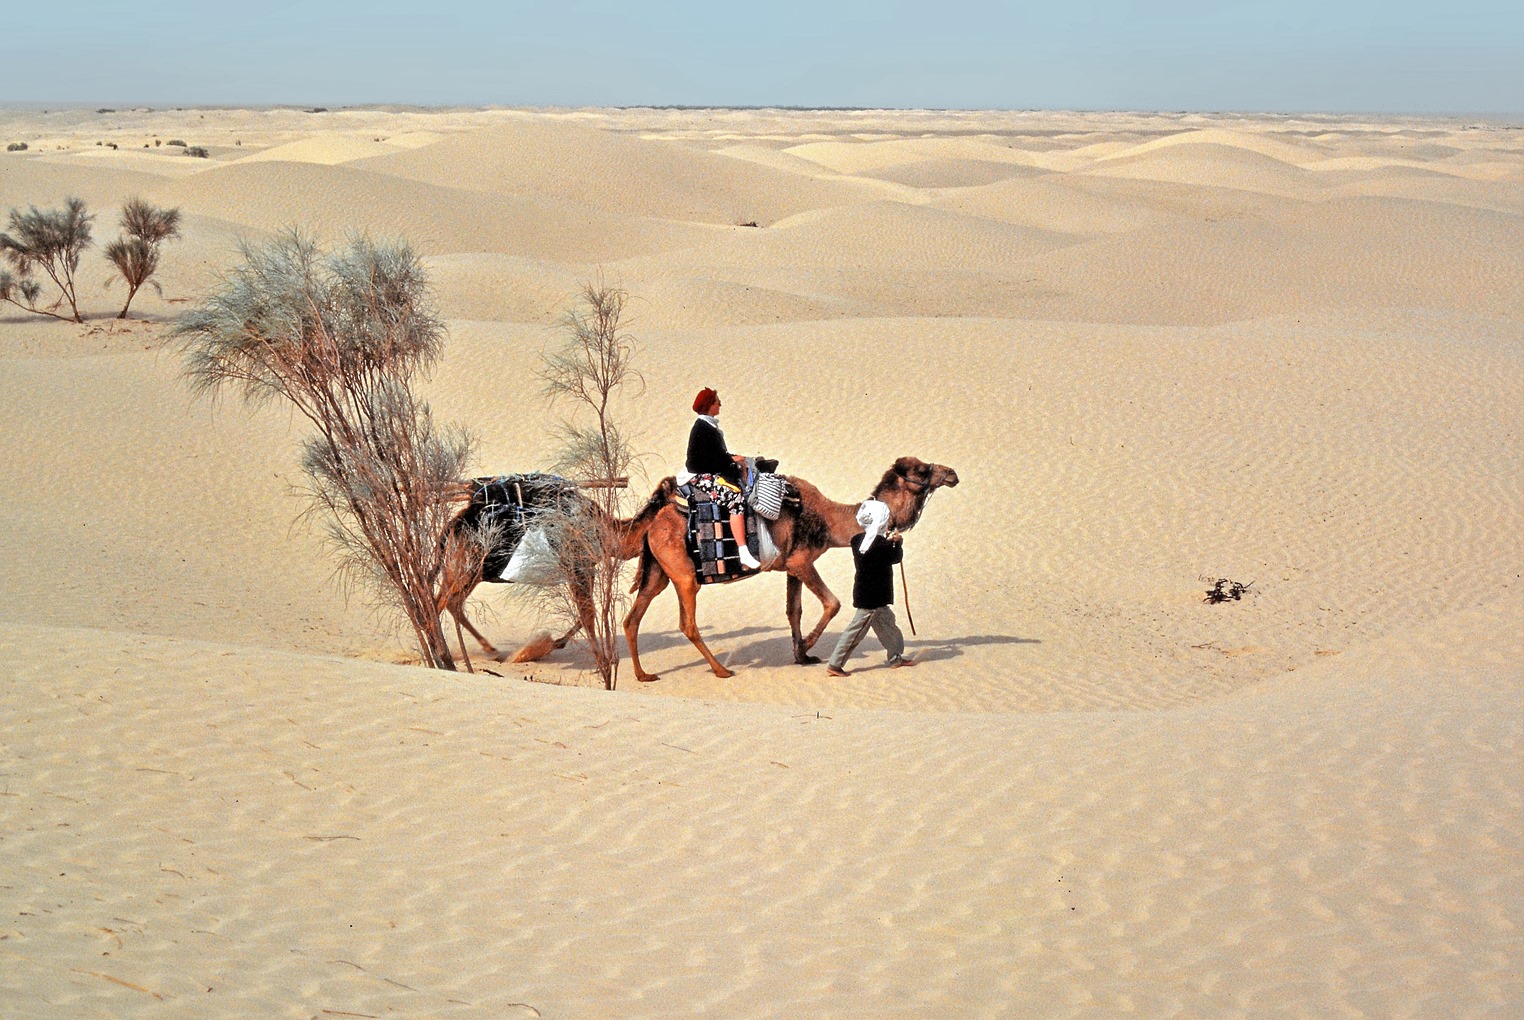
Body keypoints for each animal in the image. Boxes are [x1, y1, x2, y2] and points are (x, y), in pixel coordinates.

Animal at [621, 454, 957, 680]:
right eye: (921, 469)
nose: (952, 472)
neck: (829, 520)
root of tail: (654, 520)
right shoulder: (802, 561)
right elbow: (833, 604)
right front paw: (806, 645)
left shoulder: (791, 567)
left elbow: (794, 610)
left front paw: (802, 655)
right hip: (683, 574)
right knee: (687, 623)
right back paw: (722, 670)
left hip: (658, 571)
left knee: (632, 618)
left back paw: (643, 675)